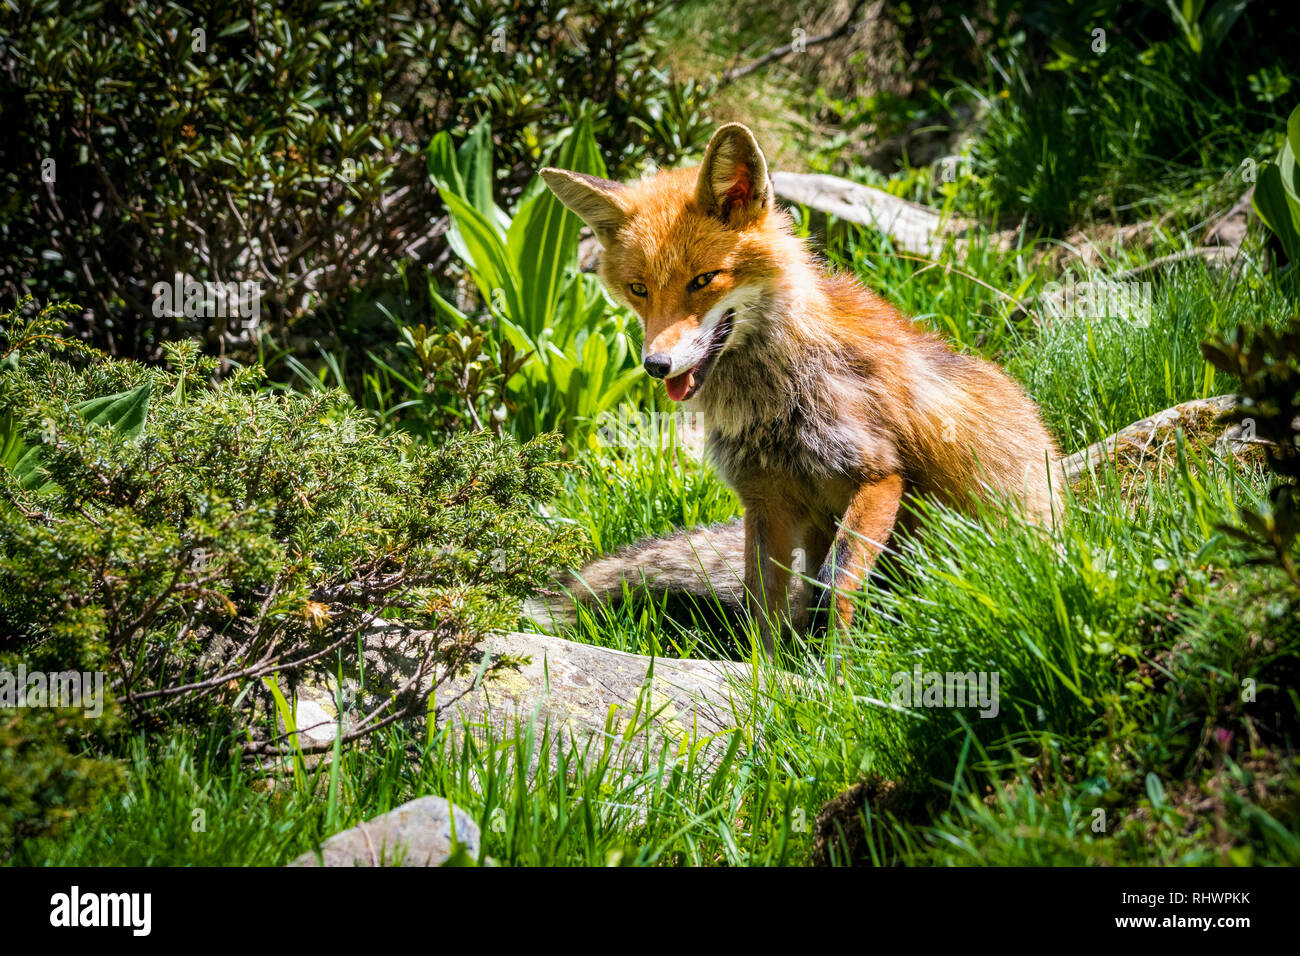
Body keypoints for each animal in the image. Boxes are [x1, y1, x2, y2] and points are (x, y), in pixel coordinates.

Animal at [534, 123, 1063, 652]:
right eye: (639, 289)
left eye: (704, 279)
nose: (656, 365)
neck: (773, 398)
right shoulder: (766, 499)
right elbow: (761, 609)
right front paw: (763, 672)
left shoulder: (879, 476)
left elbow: (835, 585)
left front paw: (838, 670)